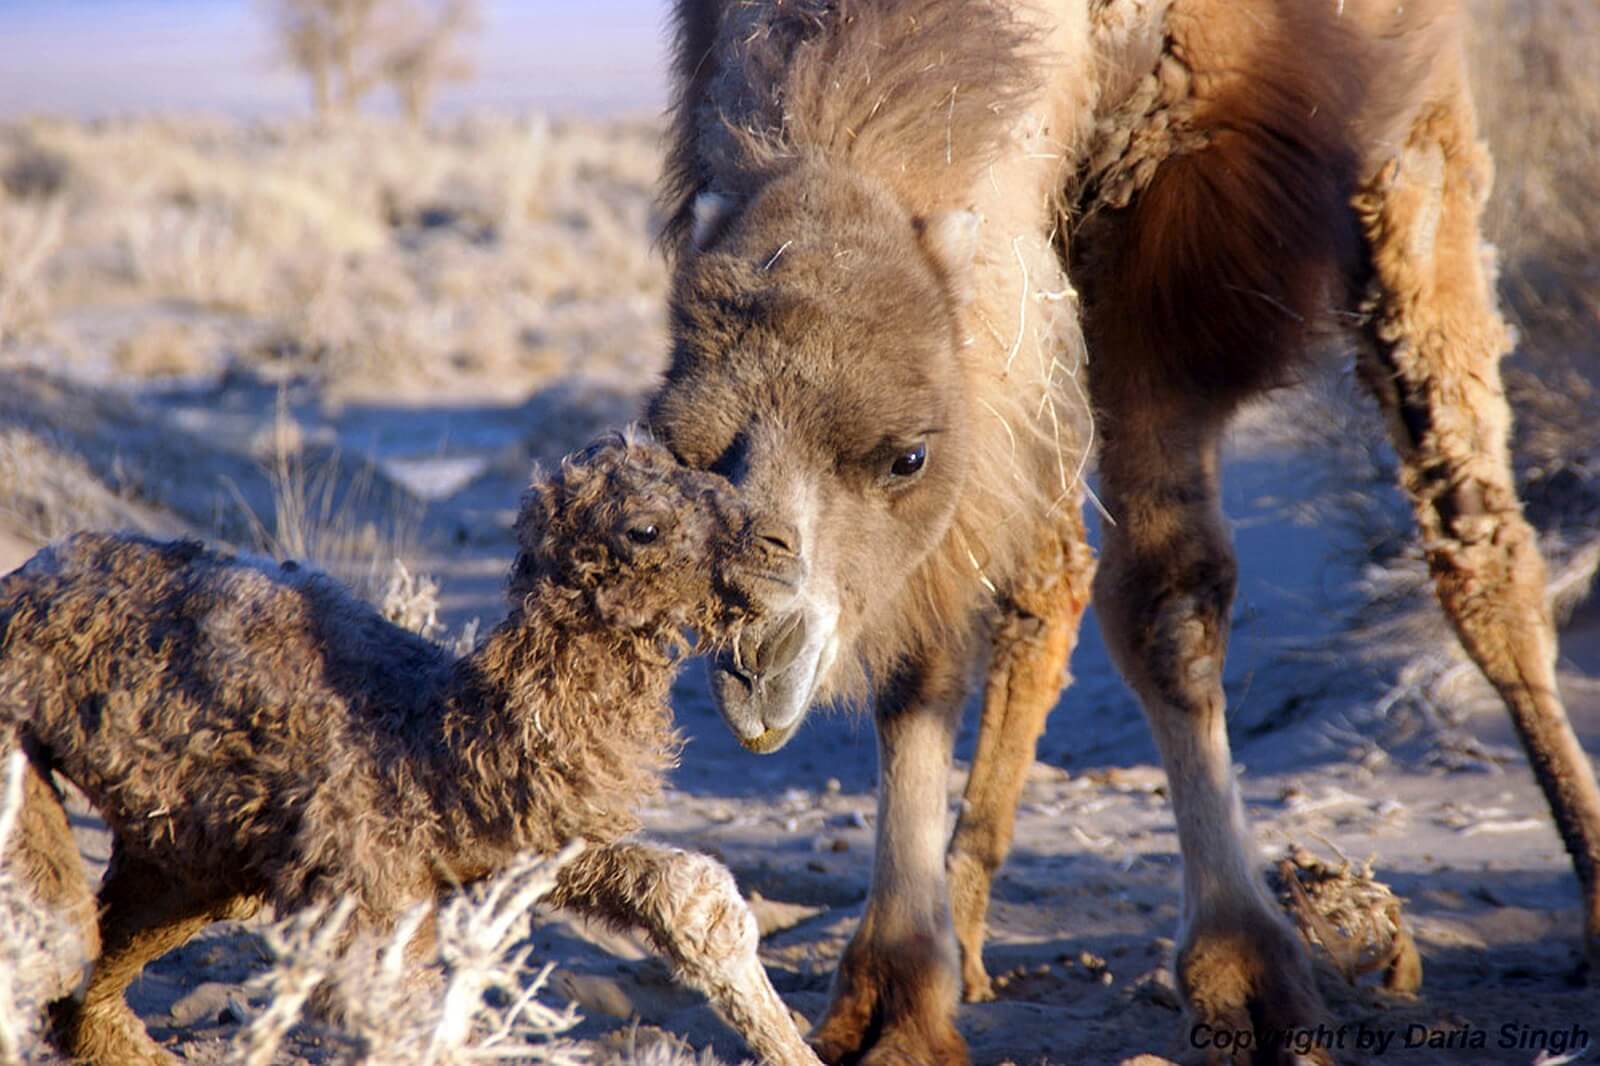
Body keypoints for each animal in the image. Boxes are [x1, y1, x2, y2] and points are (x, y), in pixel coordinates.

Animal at [0, 435, 821, 1066]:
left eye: (712, 481)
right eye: (643, 529)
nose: (784, 550)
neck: (429, 735)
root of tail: (25, 578)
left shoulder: (503, 836)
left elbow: (695, 895)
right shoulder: (365, 871)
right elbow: (409, 1015)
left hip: (188, 856)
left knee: (90, 961)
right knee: (50, 939)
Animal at [648, 0, 1600, 1062]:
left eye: (907, 456)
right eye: (679, 445)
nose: (759, 665)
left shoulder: (1171, 222)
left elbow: (1164, 597)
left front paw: (1244, 969)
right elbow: (928, 641)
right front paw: (895, 996)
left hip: (1404, 151)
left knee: (1478, 540)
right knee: (1047, 577)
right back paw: (967, 929)